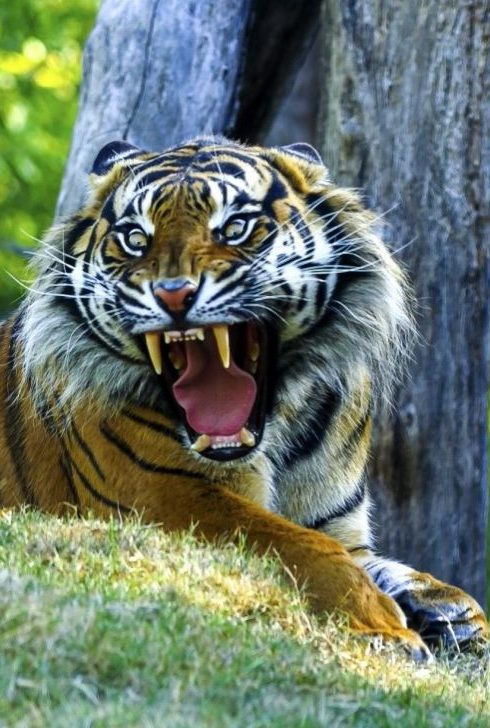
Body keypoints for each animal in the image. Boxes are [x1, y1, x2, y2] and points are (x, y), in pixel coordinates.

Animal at [0, 137, 487, 660]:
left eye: (234, 228)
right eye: (135, 238)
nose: (173, 295)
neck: (281, 426)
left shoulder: (338, 522)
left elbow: (377, 562)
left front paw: (451, 607)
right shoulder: (163, 494)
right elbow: (294, 543)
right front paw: (383, 625)